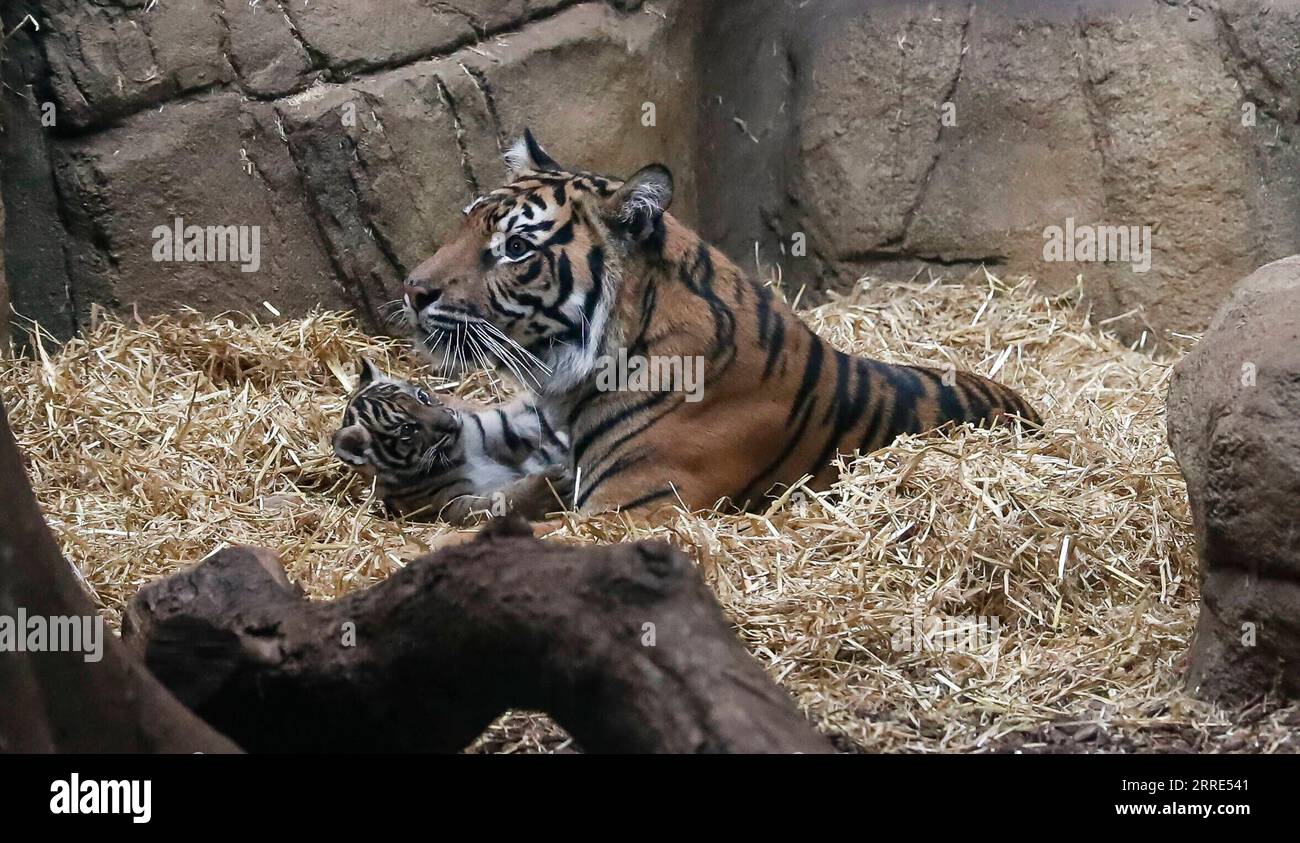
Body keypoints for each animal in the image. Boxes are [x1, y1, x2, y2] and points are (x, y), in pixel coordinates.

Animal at [331, 357, 571, 523]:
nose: (451, 423)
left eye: (422, 397)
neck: (459, 453)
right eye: (407, 430)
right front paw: (548, 488)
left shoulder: (496, 427)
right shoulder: (454, 504)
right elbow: (503, 501)